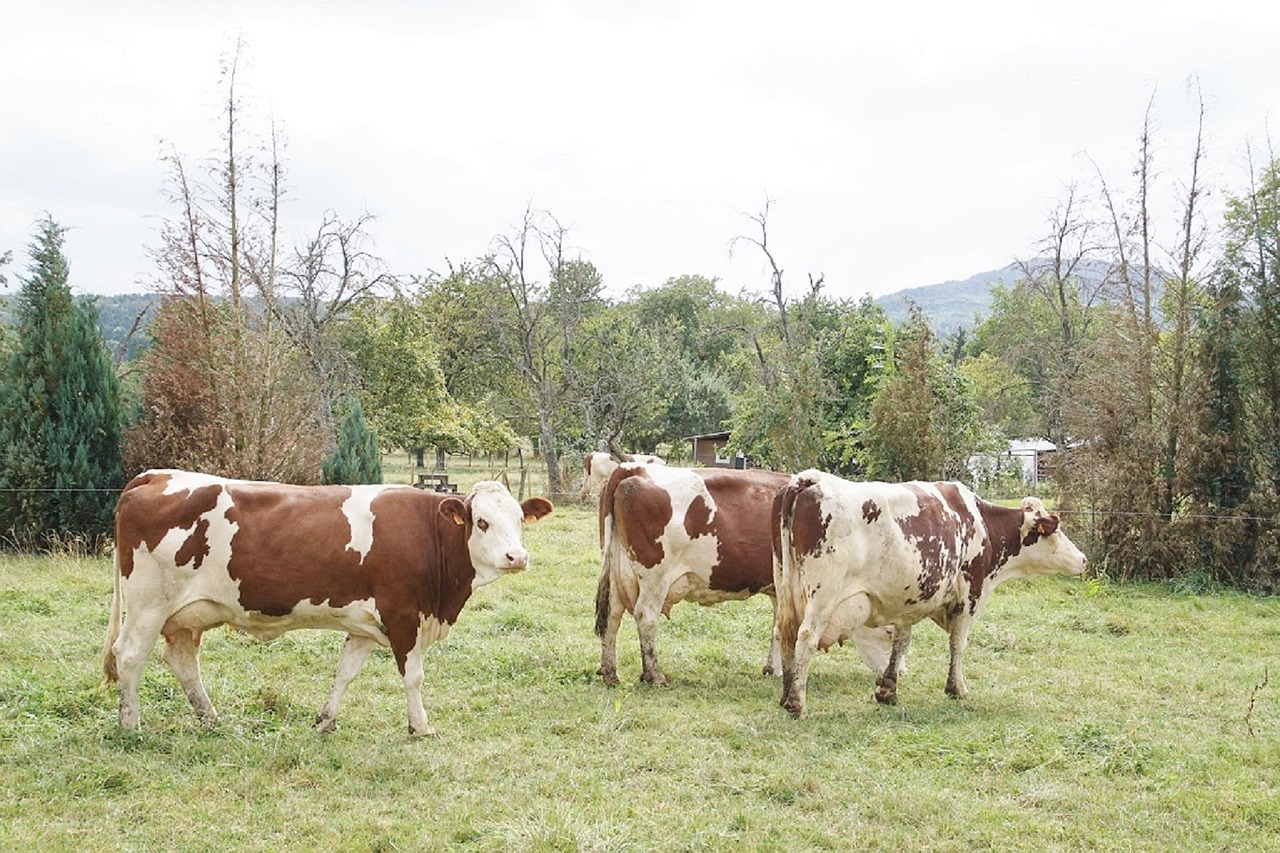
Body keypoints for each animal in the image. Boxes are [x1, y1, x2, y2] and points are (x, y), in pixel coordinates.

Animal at [101, 470, 553, 735]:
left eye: (519, 520)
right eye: (482, 522)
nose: (517, 557)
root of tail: (155, 475)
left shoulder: (366, 624)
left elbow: (345, 672)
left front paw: (325, 719)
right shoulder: (404, 615)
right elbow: (413, 677)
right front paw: (421, 727)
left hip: (183, 616)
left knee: (181, 662)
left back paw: (211, 719)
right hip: (148, 606)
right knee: (129, 656)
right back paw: (130, 725)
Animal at [595, 463, 892, 686]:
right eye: (889, 631)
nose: (895, 673)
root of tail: (632, 468)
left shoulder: (778, 589)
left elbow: (778, 626)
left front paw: (774, 668)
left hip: (620, 570)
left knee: (612, 615)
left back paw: (610, 672)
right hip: (654, 576)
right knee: (646, 617)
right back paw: (654, 675)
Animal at [773, 469, 1087, 718]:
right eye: (1055, 531)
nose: (1083, 559)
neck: (981, 522)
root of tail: (811, 478)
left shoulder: (907, 599)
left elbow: (901, 642)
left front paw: (888, 689)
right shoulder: (969, 595)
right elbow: (958, 643)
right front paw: (957, 688)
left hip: (785, 587)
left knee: (785, 633)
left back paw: (786, 696)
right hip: (823, 596)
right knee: (806, 637)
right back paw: (797, 704)